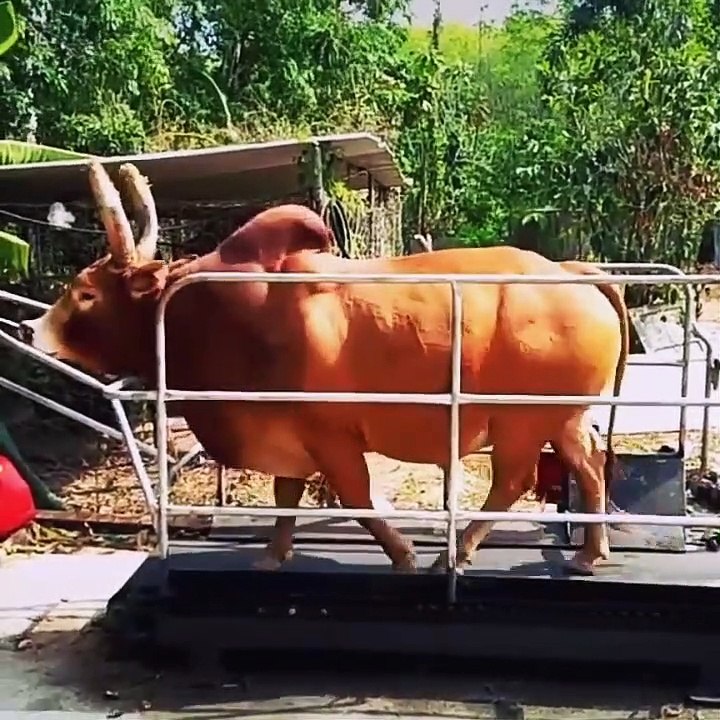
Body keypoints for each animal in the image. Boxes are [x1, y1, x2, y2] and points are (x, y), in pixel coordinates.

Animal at [19, 161, 628, 576]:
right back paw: (590, 554)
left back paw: (453, 555)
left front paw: (404, 555)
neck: (205, 310)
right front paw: (273, 555)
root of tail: (570, 271)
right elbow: (285, 495)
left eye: (87, 292)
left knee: (516, 481)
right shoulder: (287, 432)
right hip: (564, 418)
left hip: (522, 423)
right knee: (590, 465)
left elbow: (356, 497)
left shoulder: (331, 435)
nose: (33, 330)